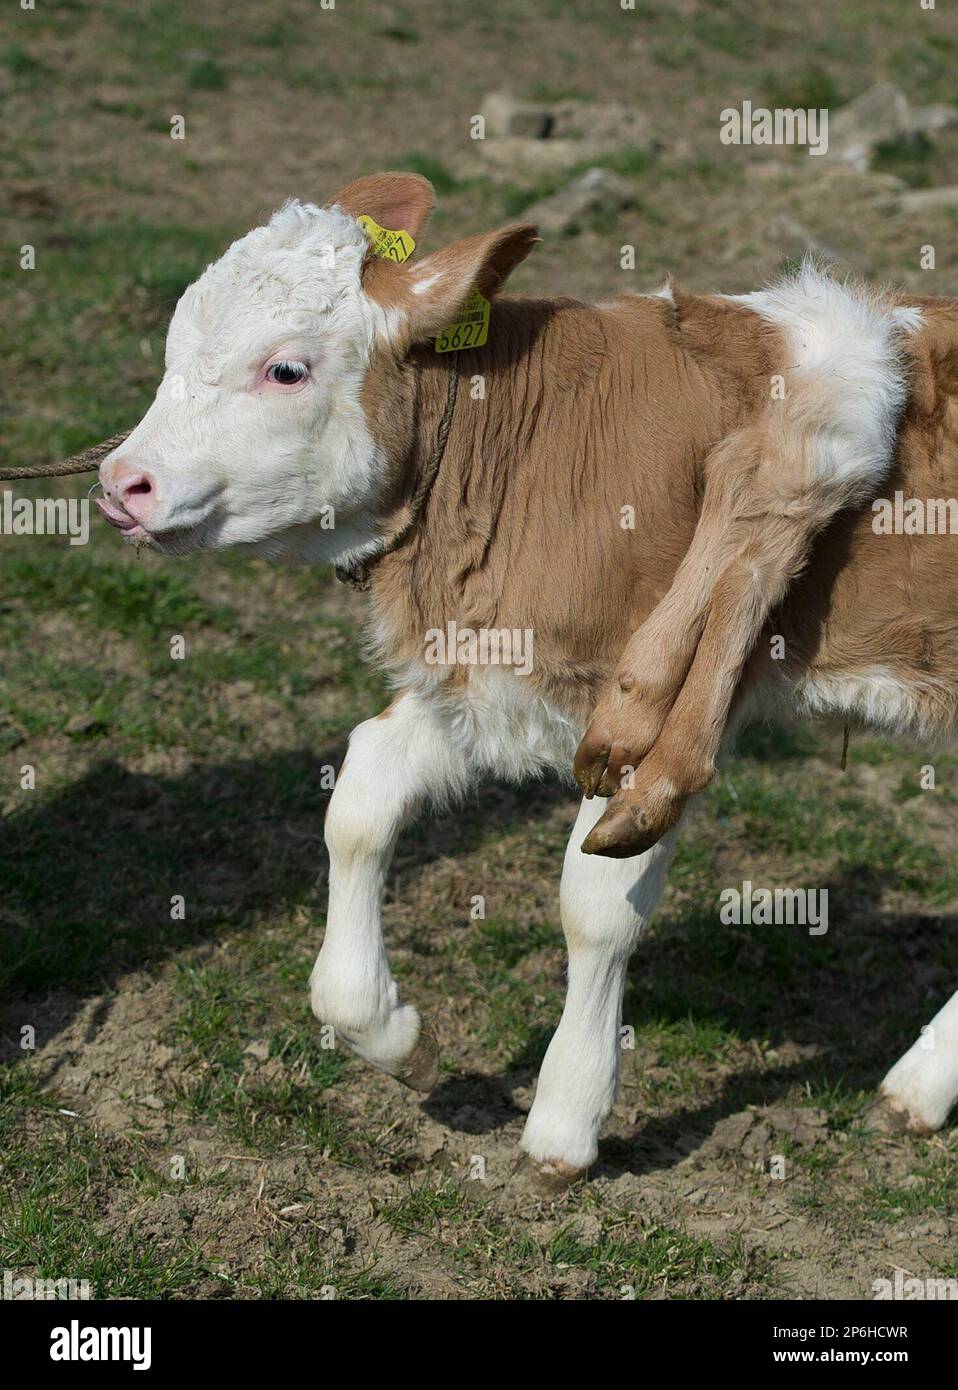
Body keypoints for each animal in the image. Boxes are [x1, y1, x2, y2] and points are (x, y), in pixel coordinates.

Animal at [95, 172, 958, 1192]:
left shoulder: (610, 709)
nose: (122, 482)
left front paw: (566, 1121)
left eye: (287, 370)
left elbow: (595, 908)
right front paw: (388, 1031)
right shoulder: (488, 674)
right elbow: (360, 798)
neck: (528, 447)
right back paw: (919, 1089)